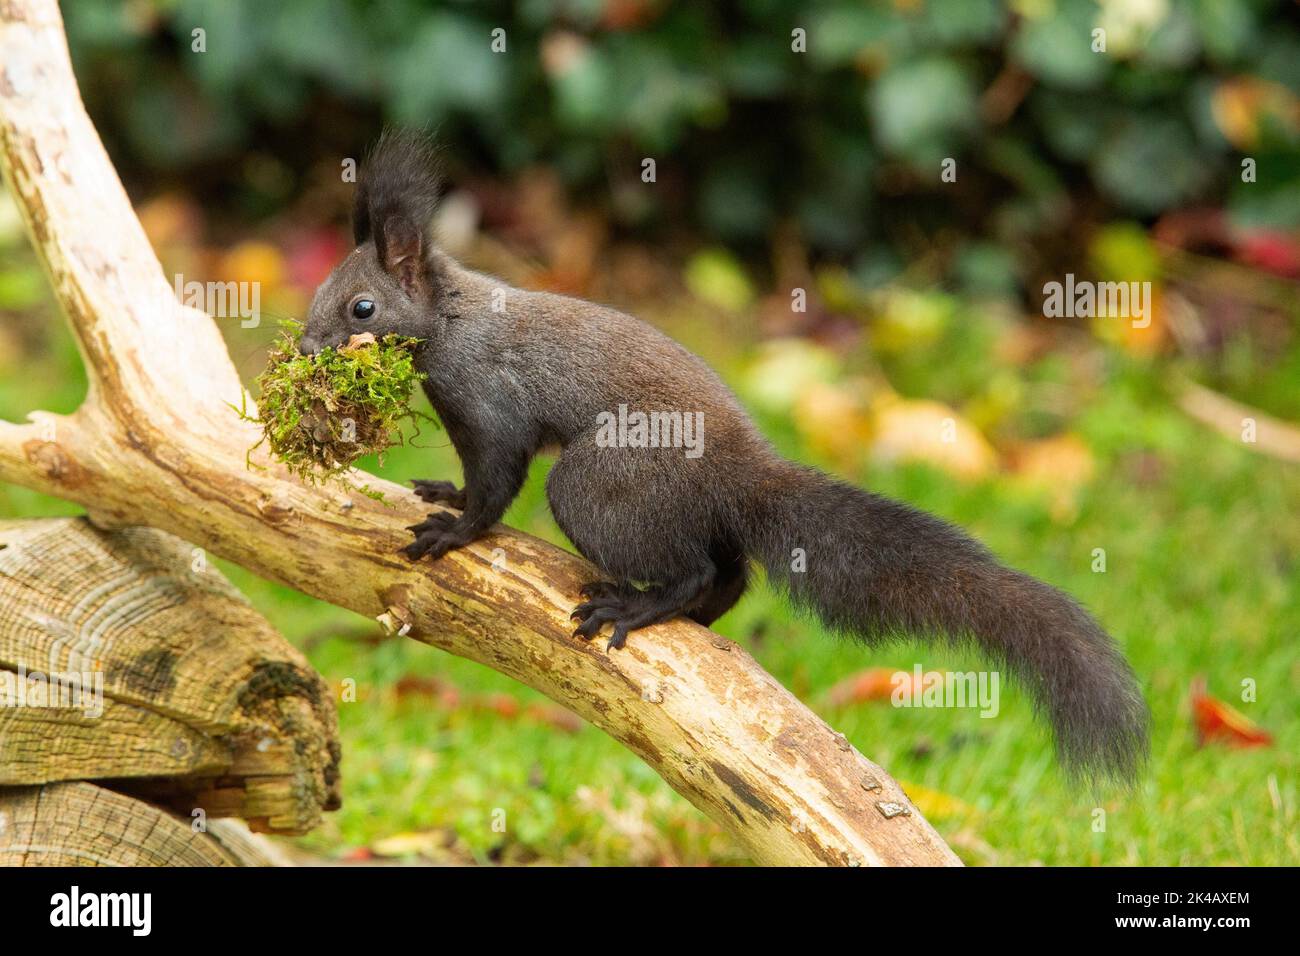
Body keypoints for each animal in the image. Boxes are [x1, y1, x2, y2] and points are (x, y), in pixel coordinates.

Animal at [300, 130, 1149, 784]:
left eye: (362, 308)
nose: (306, 348)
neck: (452, 319)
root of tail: (738, 477)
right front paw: (442, 494)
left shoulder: (488, 402)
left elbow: (495, 484)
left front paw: (453, 530)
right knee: (732, 571)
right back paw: (694, 614)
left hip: (600, 486)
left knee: (693, 565)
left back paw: (639, 606)